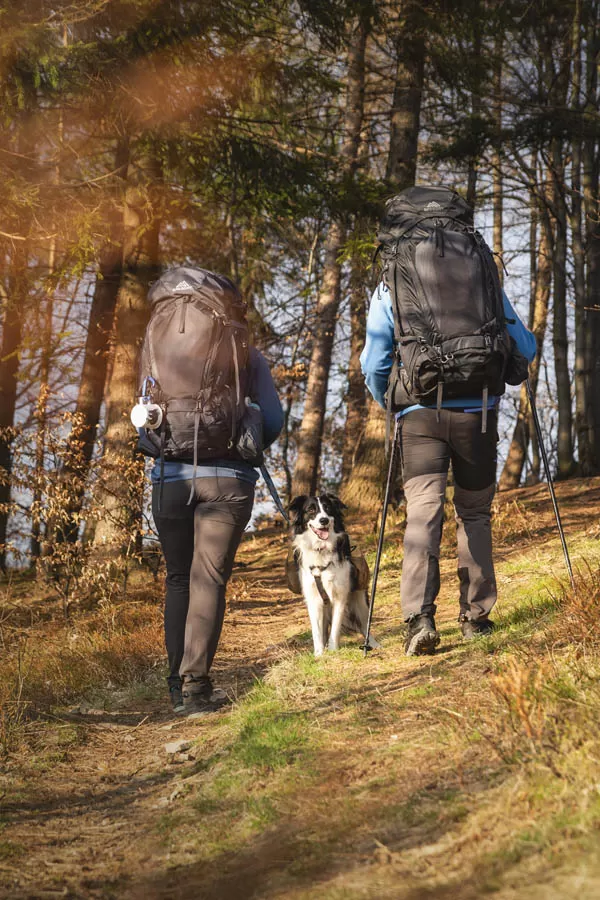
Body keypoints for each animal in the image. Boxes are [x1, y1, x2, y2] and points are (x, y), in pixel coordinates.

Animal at [288, 496, 378, 656]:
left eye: (328, 508)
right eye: (311, 510)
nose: (324, 520)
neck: (321, 549)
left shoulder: (340, 596)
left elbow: (335, 629)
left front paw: (332, 650)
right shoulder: (313, 598)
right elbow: (317, 632)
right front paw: (319, 655)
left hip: (360, 601)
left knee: (364, 624)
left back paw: (372, 644)